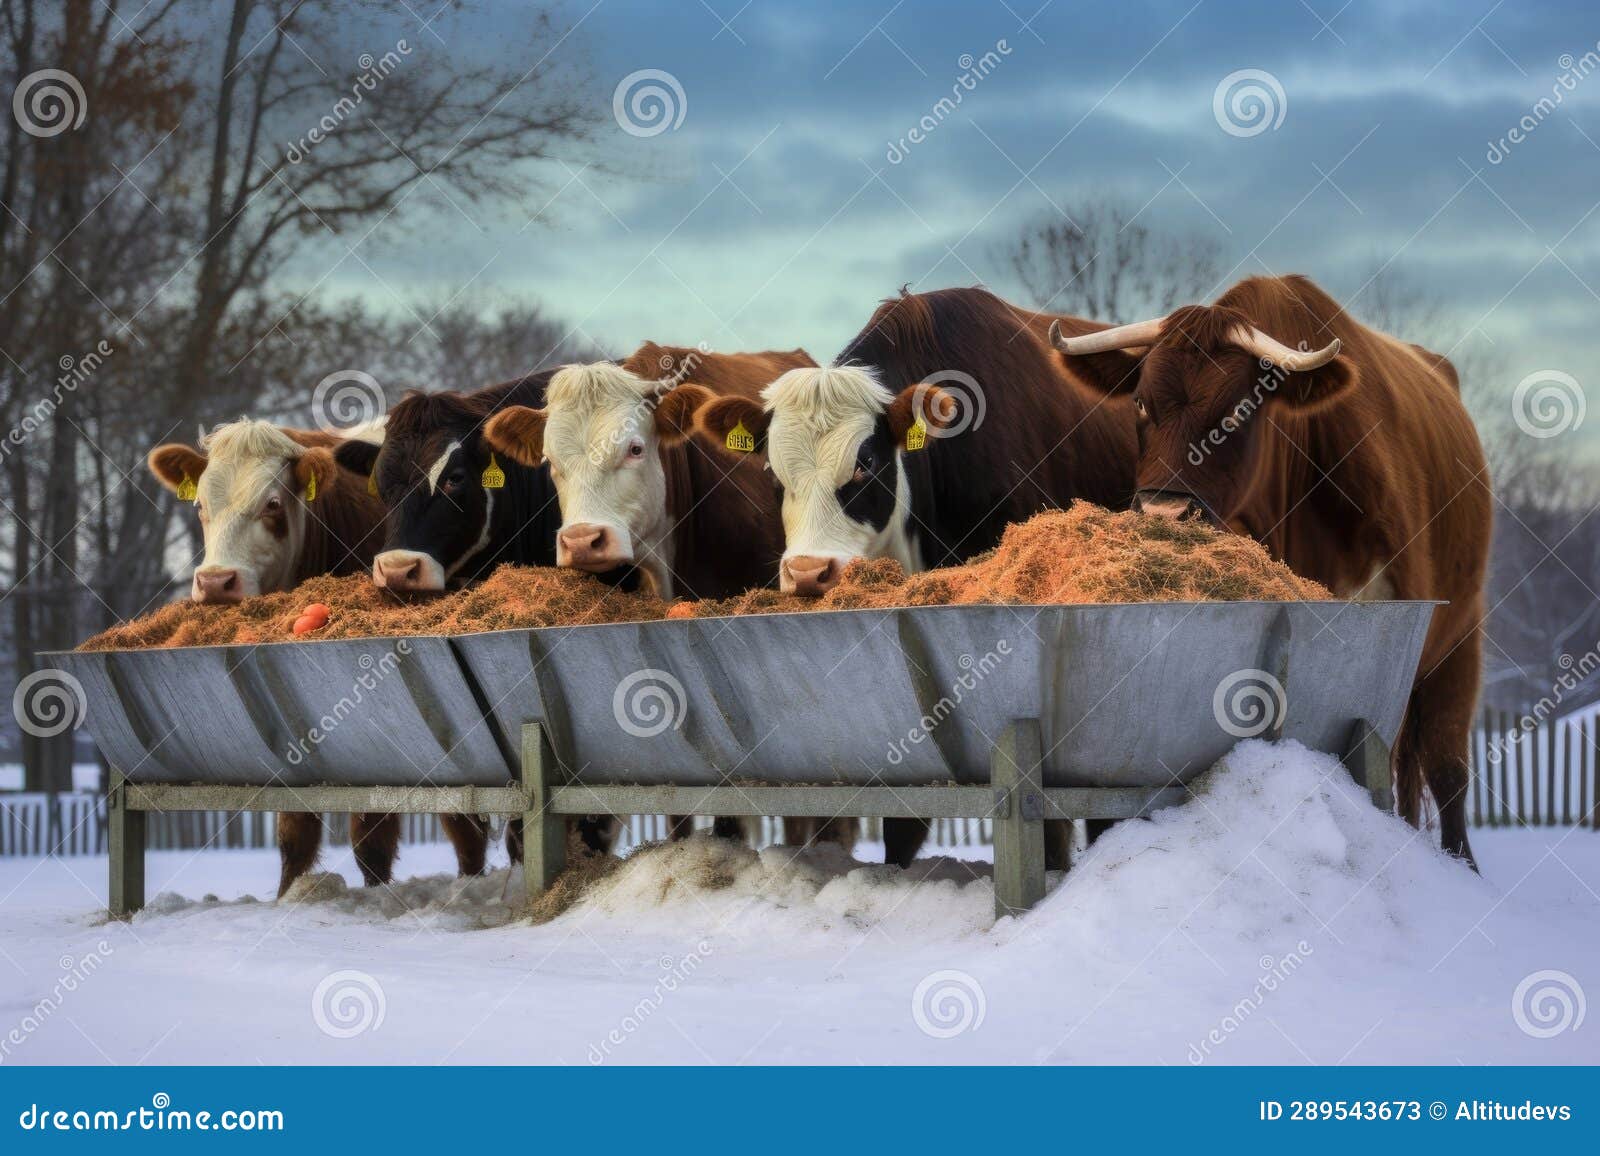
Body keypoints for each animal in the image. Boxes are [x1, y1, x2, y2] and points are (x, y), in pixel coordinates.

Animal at [146, 419, 492, 895]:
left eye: (272, 504)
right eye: (199, 505)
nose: (216, 582)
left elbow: (372, 840)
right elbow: (295, 836)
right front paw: (287, 895)